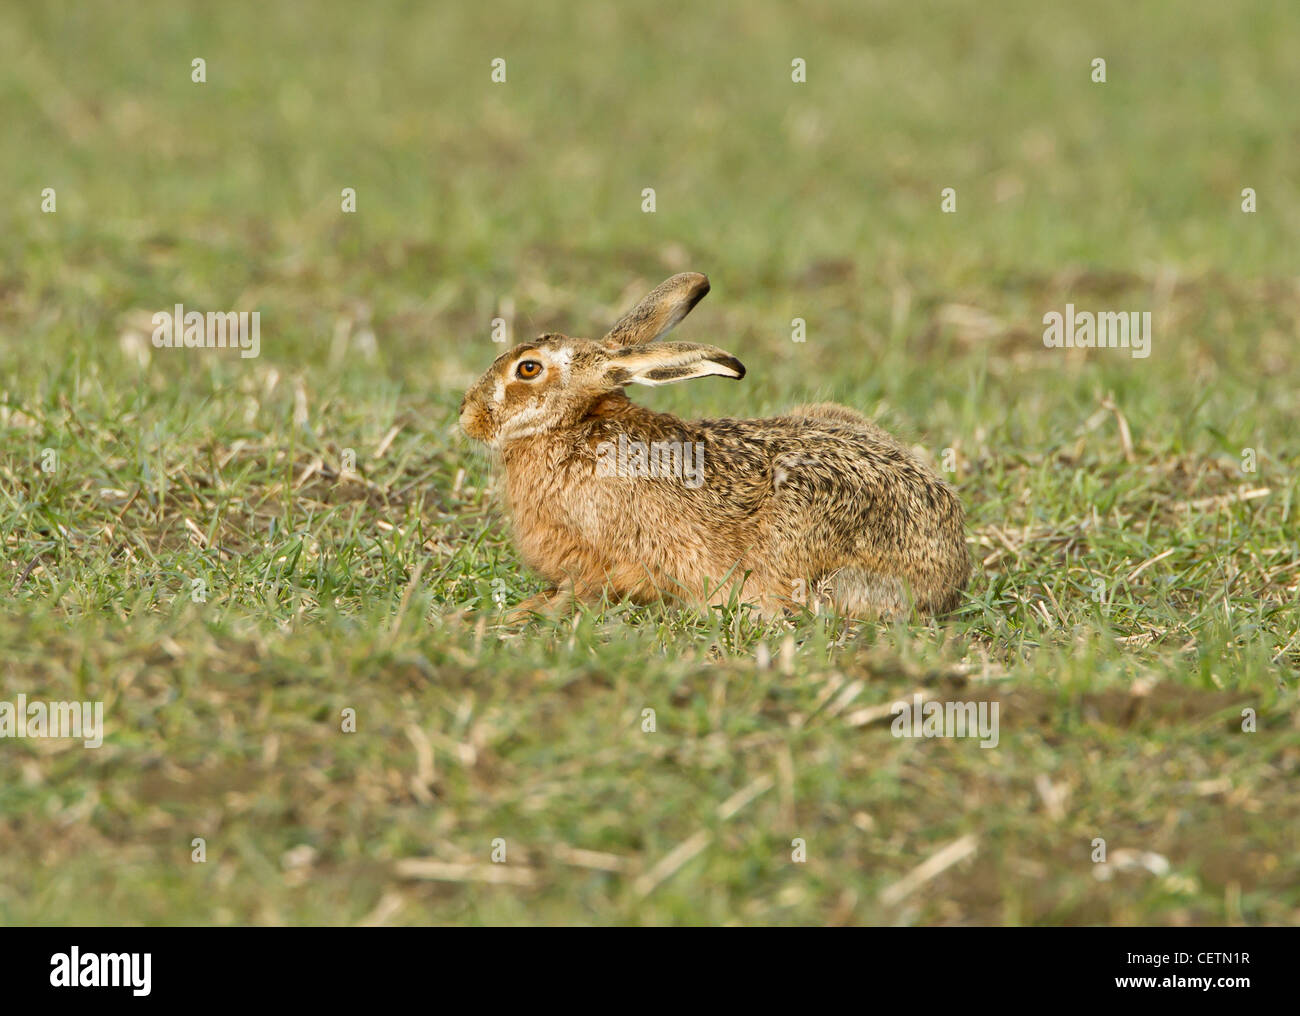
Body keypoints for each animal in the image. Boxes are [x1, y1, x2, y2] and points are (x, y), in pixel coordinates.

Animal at [458, 272, 969, 620]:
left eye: (528, 369)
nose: (466, 415)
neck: (574, 426)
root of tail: (951, 566)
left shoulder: (602, 559)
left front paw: (522, 613)